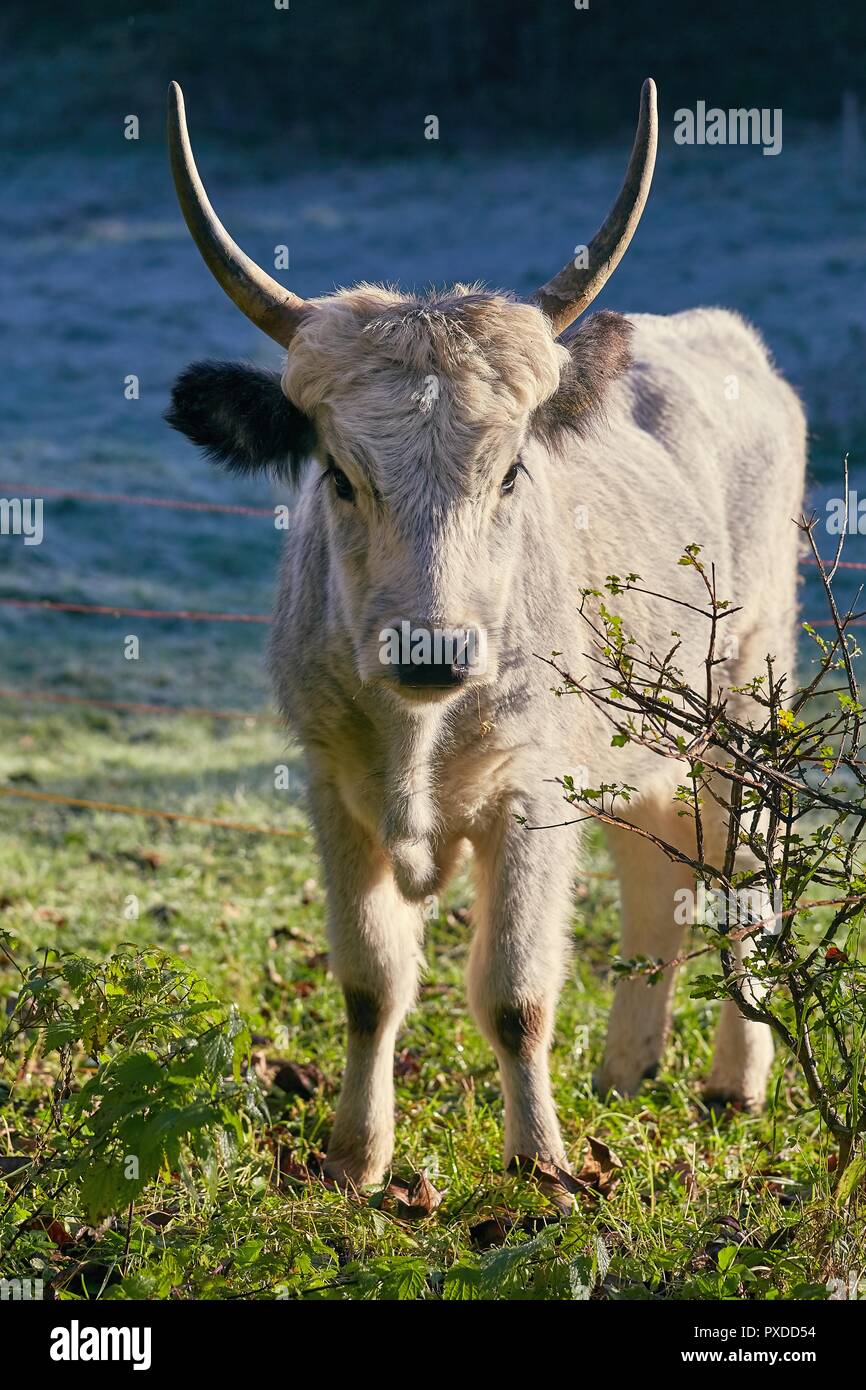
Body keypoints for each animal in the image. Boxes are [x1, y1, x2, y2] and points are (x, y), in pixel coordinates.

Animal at [165, 80, 806, 1185]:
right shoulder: (331, 787)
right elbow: (370, 982)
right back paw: (625, 1073)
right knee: (661, 875)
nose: (432, 650)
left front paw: (542, 1168)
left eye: (508, 472)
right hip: (648, 740)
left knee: (745, 874)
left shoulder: (531, 792)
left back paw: (735, 1082)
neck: (417, 734)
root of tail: (724, 343)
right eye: (339, 475)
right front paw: (355, 1160)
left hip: (748, 697)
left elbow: (513, 993)